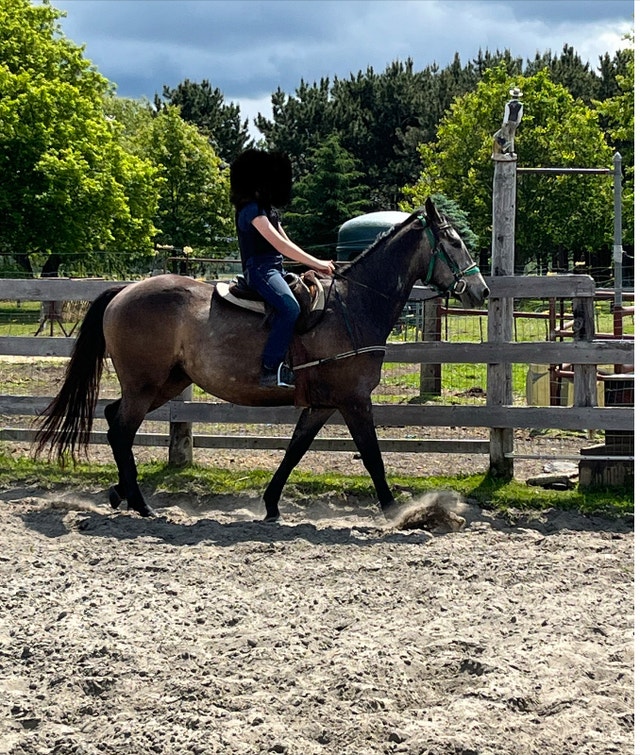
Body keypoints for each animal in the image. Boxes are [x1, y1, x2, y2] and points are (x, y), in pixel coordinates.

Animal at [34, 197, 489, 522]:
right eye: (454, 242)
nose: (480, 290)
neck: (353, 306)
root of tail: (124, 291)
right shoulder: (354, 400)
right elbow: (373, 456)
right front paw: (397, 511)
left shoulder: (322, 405)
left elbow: (295, 450)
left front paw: (270, 504)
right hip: (146, 384)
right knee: (121, 430)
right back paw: (141, 504)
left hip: (166, 383)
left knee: (114, 420)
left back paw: (122, 494)